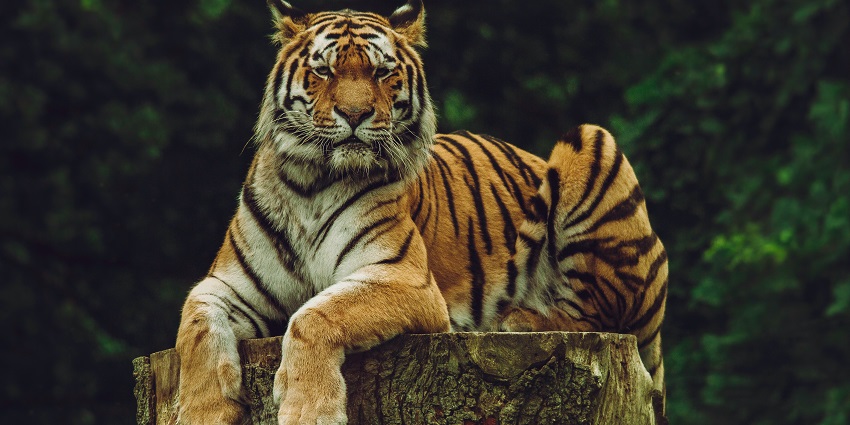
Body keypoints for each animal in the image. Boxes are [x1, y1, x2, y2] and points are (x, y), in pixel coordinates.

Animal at [174, 0, 668, 424]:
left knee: (602, 314)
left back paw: (519, 318)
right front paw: (204, 413)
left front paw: (308, 411)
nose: (355, 114)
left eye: (381, 71)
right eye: (324, 70)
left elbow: (314, 315)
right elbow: (195, 328)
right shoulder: (228, 285)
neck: (311, 184)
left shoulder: (404, 278)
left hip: (592, 141)